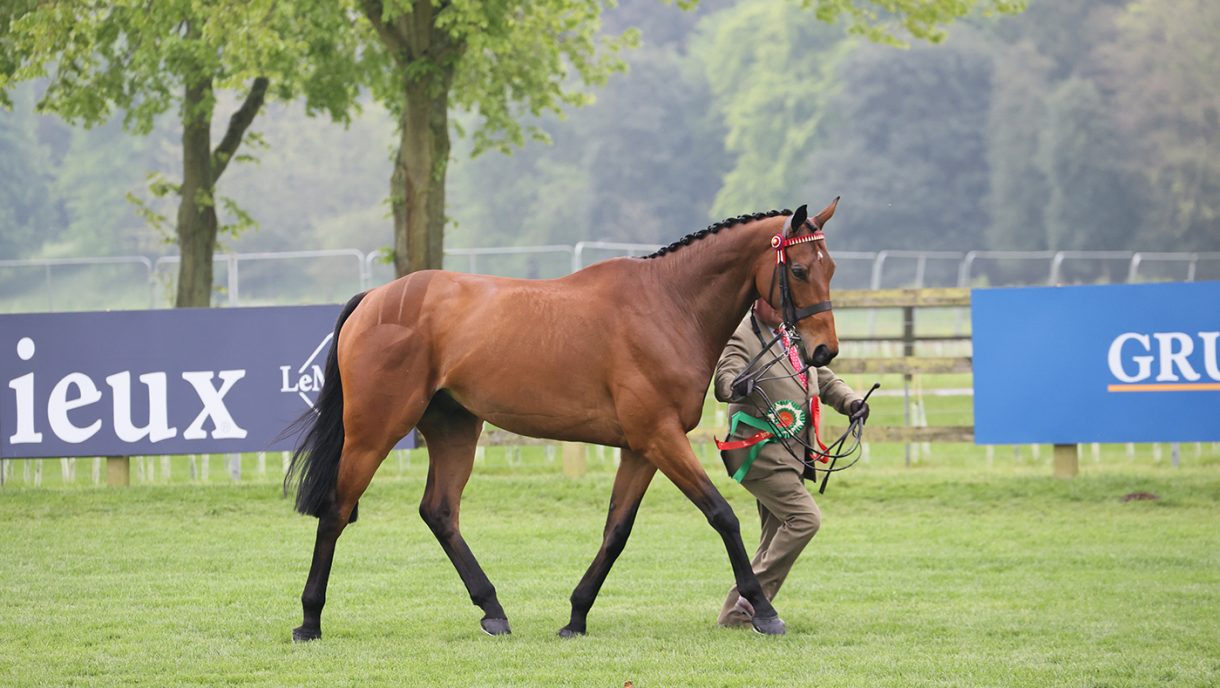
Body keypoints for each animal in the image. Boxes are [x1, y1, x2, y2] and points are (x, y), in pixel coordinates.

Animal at [285, 199, 842, 640]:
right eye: (797, 270)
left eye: (831, 268)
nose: (824, 351)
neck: (668, 306)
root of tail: (375, 299)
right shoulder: (660, 438)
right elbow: (722, 515)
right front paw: (764, 611)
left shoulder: (642, 448)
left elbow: (616, 531)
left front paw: (576, 616)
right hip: (374, 431)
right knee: (336, 510)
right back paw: (310, 621)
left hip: (454, 427)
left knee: (439, 512)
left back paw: (493, 609)